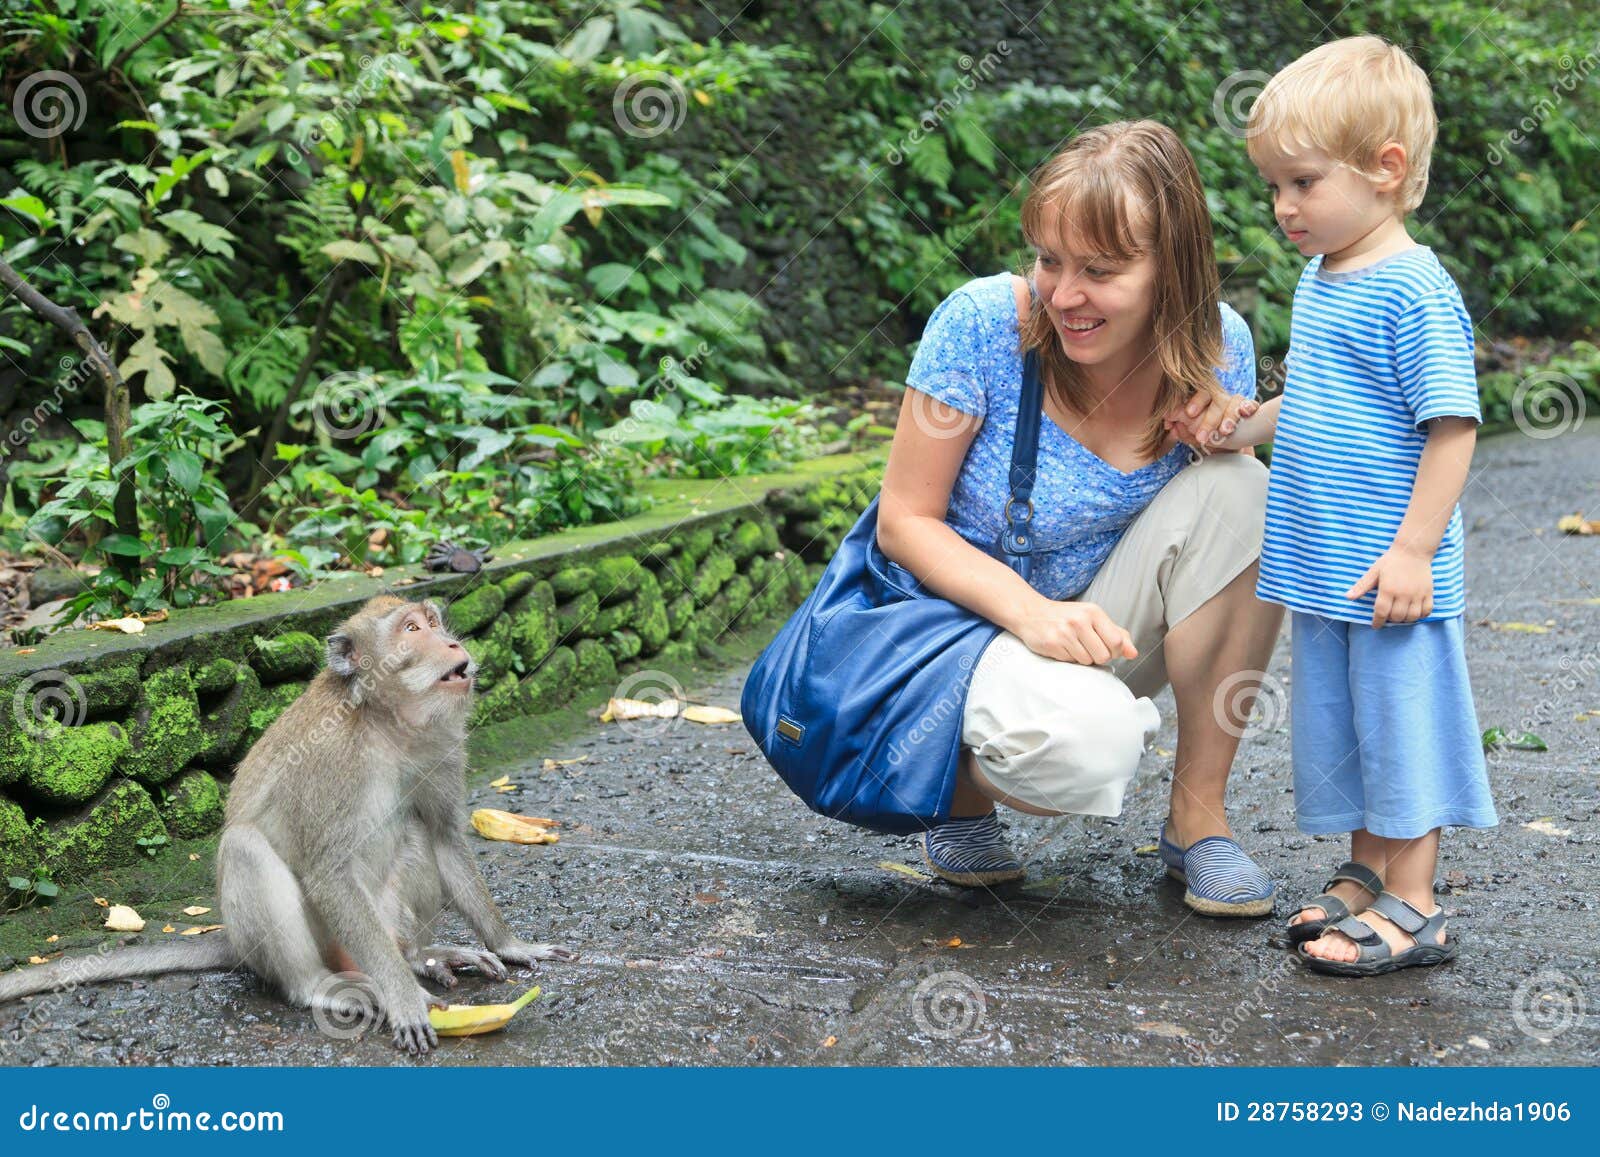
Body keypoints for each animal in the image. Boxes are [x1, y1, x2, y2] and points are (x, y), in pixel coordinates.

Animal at [0, 594, 576, 1054]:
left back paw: (422, 956)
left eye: (434, 621)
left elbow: (442, 836)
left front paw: (510, 944)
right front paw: (406, 1000)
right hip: (325, 943)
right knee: (246, 848)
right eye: (413, 630)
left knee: (413, 833)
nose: (453, 644)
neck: (385, 723)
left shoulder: (440, 745)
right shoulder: (331, 758)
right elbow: (327, 872)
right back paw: (328, 984)